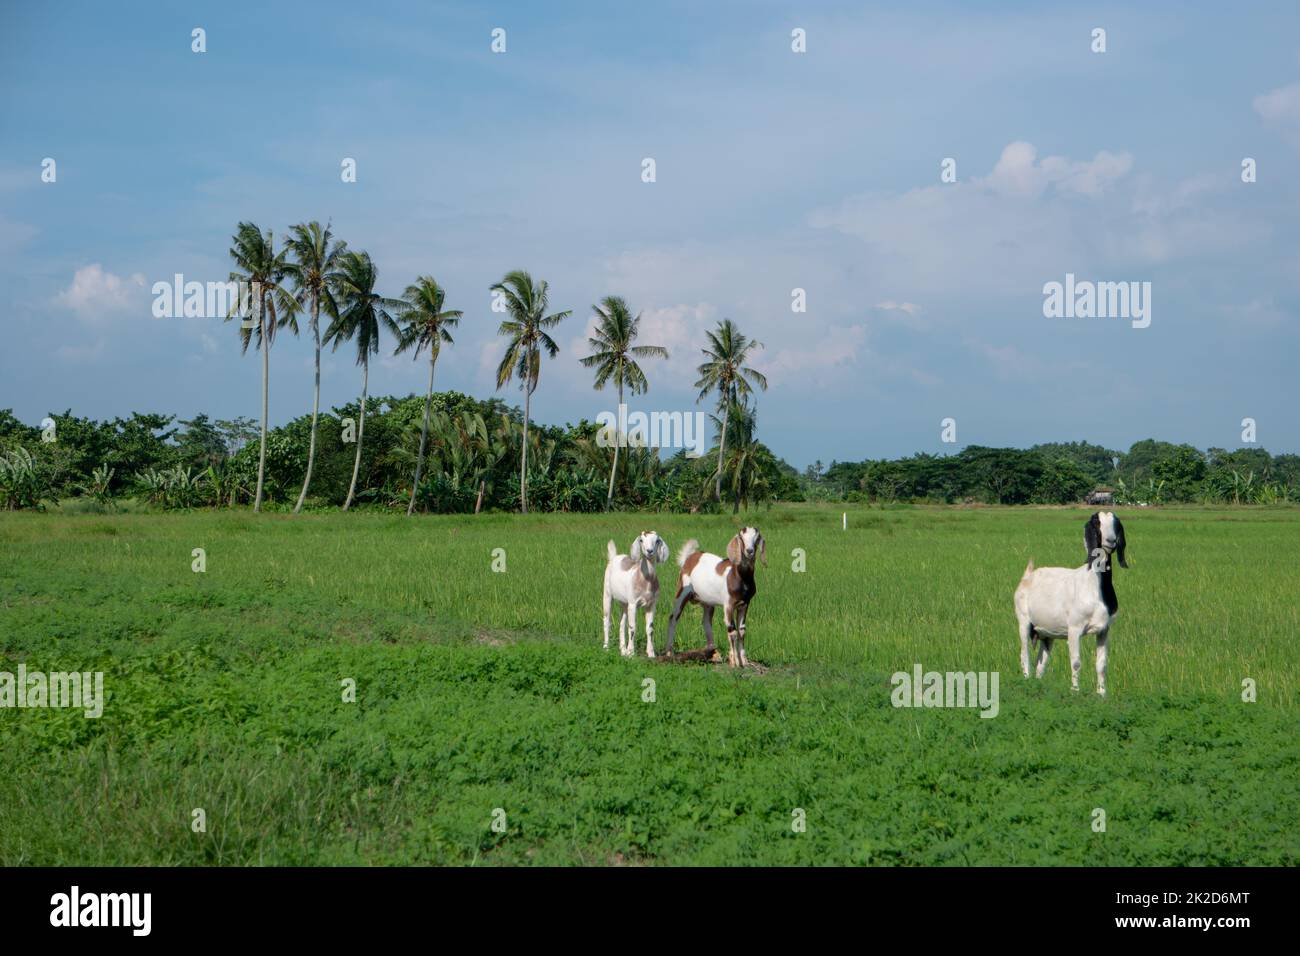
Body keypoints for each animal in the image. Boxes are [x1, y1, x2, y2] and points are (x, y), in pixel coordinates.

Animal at [664, 527, 765, 667]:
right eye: (741, 537)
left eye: (756, 537)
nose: (749, 551)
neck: (738, 575)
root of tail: (691, 557)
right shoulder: (728, 604)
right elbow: (732, 631)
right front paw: (734, 662)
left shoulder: (744, 604)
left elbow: (742, 631)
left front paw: (744, 662)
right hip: (681, 592)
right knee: (673, 618)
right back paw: (669, 652)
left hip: (707, 602)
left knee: (706, 622)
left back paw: (714, 654)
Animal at [1014, 511, 1128, 696]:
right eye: (1097, 523)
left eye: (1115, 523)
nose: (1111, 541)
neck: (1093, 584)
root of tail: (1029, 575)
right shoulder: (1074, 630)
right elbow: (1076, 662)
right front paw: (1075, 690)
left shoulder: (1104, 631)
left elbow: (1102, 664)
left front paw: (1102, 693)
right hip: (1024, 622)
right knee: (1024, 655)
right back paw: (1026, 682)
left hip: (1047, 635)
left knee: (1040, 664)